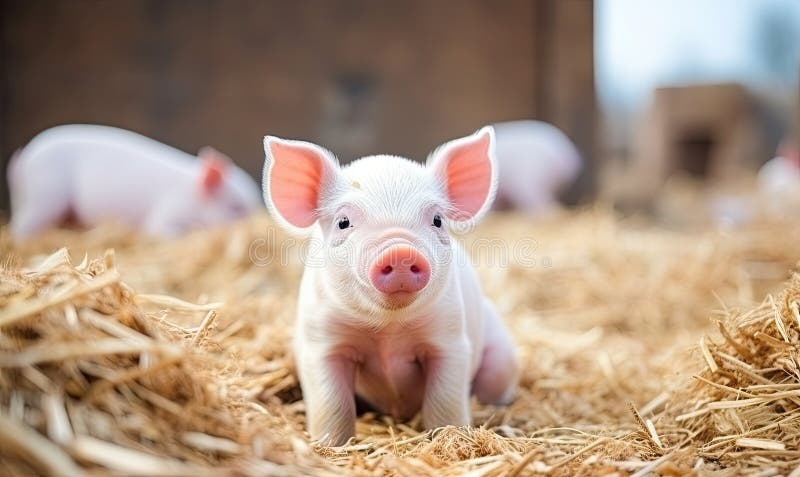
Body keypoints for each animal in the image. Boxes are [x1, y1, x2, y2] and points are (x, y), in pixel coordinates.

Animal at [7, 124, 262, 238]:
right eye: (236, 208)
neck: (193, 196)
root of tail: (25, 159)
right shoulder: (166, 214)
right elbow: (158, 230)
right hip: (45, 194)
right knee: (21, 227)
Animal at [262, 127, 518, 446]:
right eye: (343, 222)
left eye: (437, 220)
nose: (400, 251)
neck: (388, 330)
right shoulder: (322, 340)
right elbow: (332, 404)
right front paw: (331, 446)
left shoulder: (449, 337)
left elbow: (444, 402)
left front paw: (449, 437)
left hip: (502, 360)